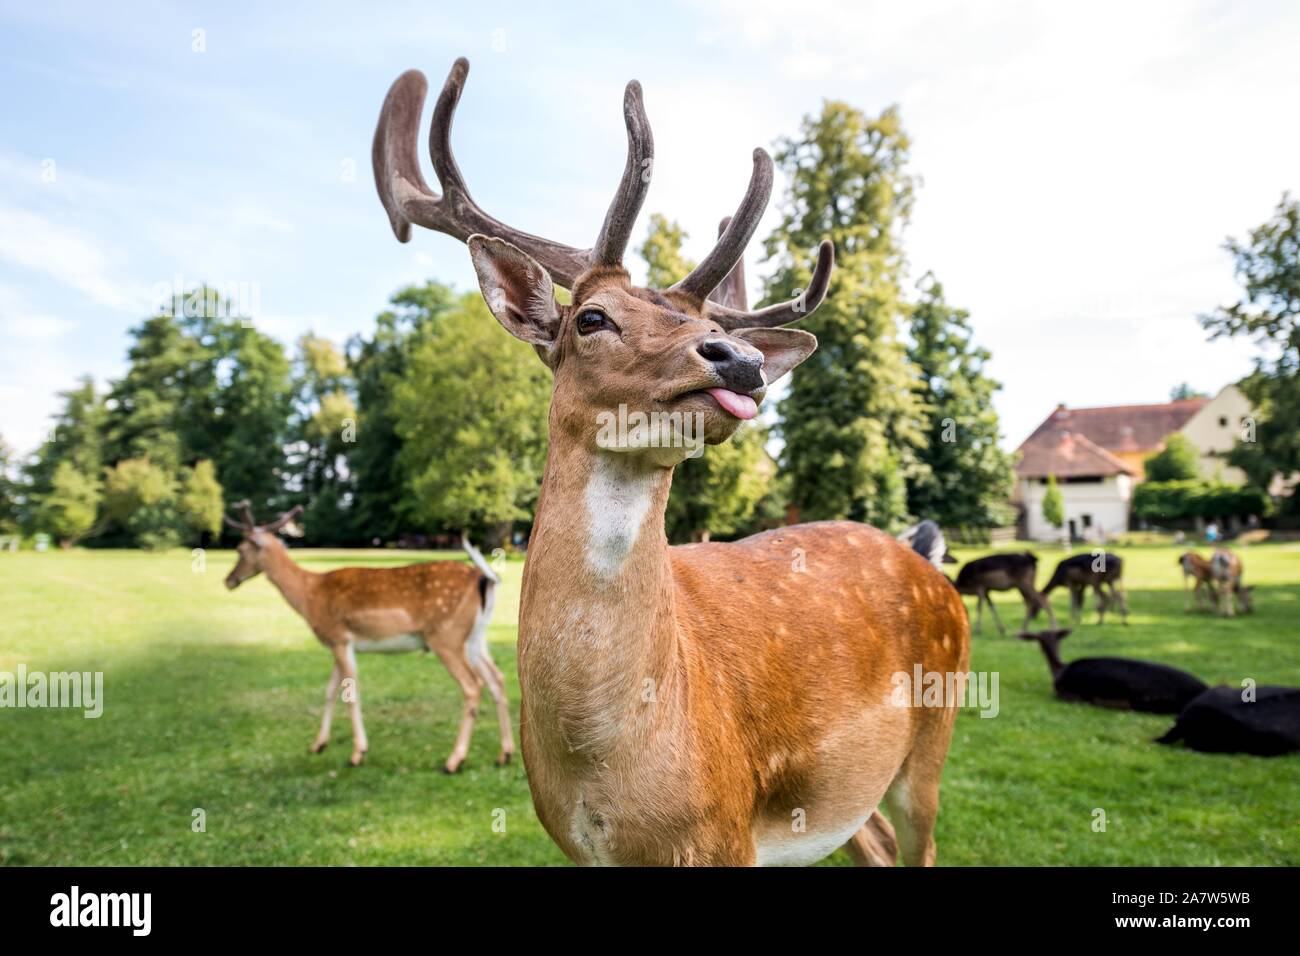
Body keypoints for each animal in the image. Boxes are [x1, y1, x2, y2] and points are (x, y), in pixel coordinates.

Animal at [222, 501, 513, 772]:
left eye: (239, 549)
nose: (229, 580)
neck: (308, 596)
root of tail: (486, 579)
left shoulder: (339, 636)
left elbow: (350, 692)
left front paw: (358, 753)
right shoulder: (335, 643)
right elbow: (329, 691)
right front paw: (318, 745)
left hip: (445, 635)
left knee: (473, 685)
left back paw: (454, 761)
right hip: (475, 638)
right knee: (497, 678)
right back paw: (505, 754)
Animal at [372, 57, 969, 866]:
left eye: (703, 323)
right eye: (591, 318)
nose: (742, 358)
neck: (606, 776)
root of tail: (927, 560)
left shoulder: (726, 832)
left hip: (935, 733)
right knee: (869, 837)